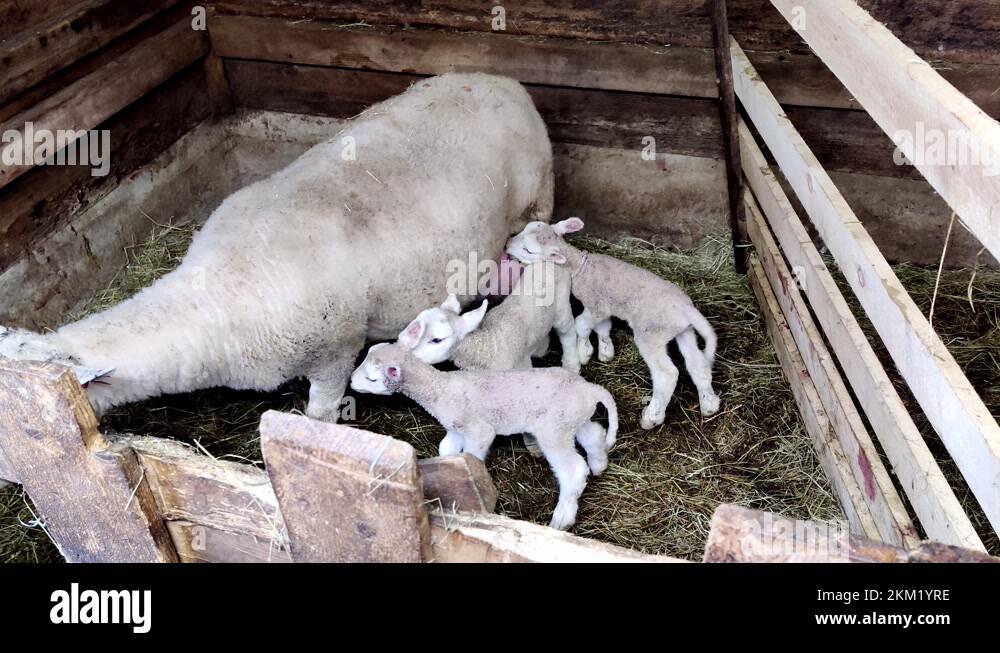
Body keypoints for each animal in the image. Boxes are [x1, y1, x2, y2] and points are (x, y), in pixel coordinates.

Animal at [350, 342, 618, 530]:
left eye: (372, 378)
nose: (351, 382)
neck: (439, 388)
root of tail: (589, 388)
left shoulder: (478, 430)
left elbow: (473, 455)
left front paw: (473, 480)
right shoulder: (457, 428)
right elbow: (446, 449)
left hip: (553, 429)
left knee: (573, 469)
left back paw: (562, 518)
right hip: (573, 420)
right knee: (595, 434)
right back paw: (599, 465)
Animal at [506, 218, 721, 430]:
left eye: (528, 250)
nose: (507, 245)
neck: (580, 266)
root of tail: (686, 308)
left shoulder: (596, 305)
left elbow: (581, 325)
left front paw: (583, 352)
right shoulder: (604, 309)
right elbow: (602, 327)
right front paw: (604, 351)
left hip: (651, 335)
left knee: (667, 374)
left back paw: (652, 417)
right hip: (683, 331)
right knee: (697, 363)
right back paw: (709, 405)